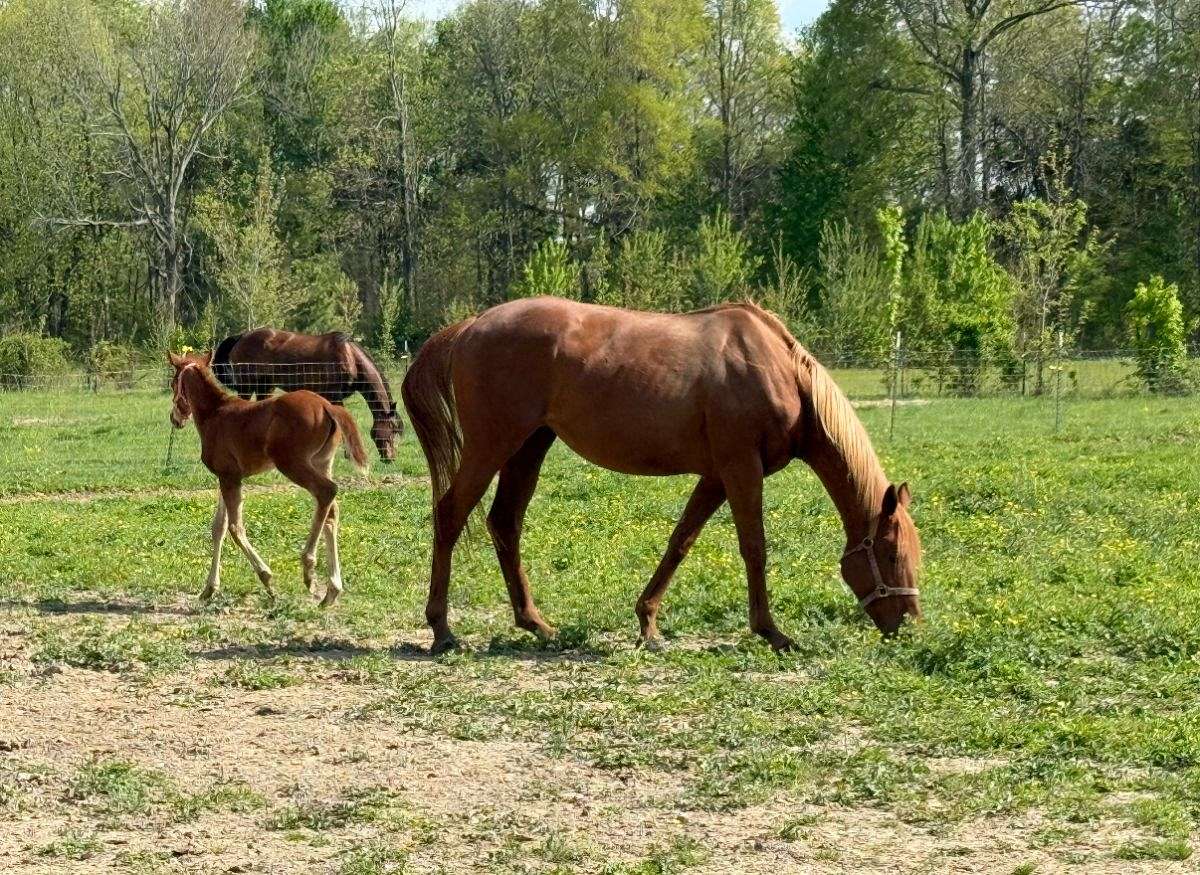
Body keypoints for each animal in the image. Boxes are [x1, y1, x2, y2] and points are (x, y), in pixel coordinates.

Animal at [168, 350, 368, 607]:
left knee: (327, 492)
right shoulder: (227, 476)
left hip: (292, 463)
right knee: (331, 512)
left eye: (173, 383)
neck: (214, 413)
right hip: (322, 462)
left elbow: (235, 527)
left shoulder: (229, 478)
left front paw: (268, 581)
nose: (175, 419)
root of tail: (326, 405)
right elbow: (218, 527)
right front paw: (209, 589)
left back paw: (309, 570)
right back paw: (331, 590)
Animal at [212, 328, 401, 462]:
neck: (350, 358)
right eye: (392, 430)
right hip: (247, 386)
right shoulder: (335, 397)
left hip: (265, 387)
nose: (390, 459)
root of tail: (242, 336)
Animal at [402, 297, 922, 654]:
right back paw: (442, 630)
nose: (910, 624)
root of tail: (471, 325)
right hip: (492, 445)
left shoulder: (715, 476)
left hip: (530, 446)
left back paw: (536, 623)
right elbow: (754, 549)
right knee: (450, 514)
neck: (780, 371)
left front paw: (648, 624)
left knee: (505, 523)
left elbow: (680, 542)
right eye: (892, 553)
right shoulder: (741, 469)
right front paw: (772, 632)